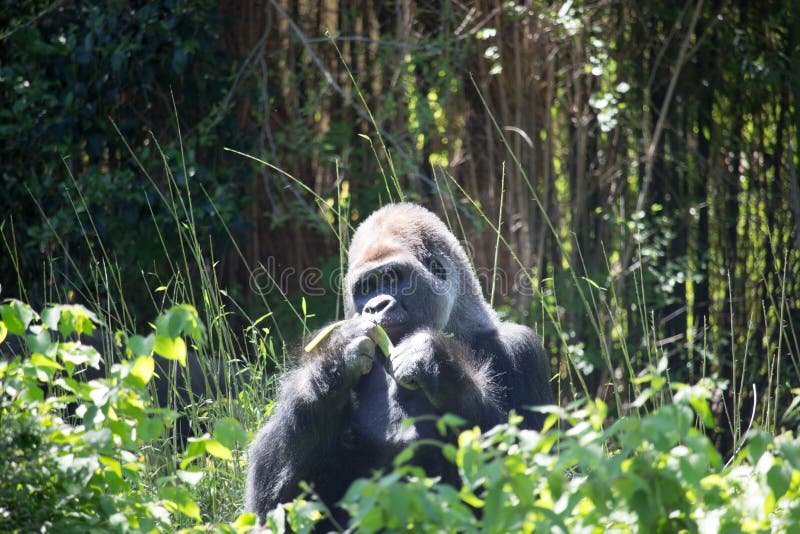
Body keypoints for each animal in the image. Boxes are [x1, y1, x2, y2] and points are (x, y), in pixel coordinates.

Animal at [245, 202, 553, 525]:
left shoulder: (523, 349)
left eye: (393, 277)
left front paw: (437, 366)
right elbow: (272, 500)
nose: (375, 306)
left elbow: (523, 474)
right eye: (367, 287)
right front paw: (332, 364)